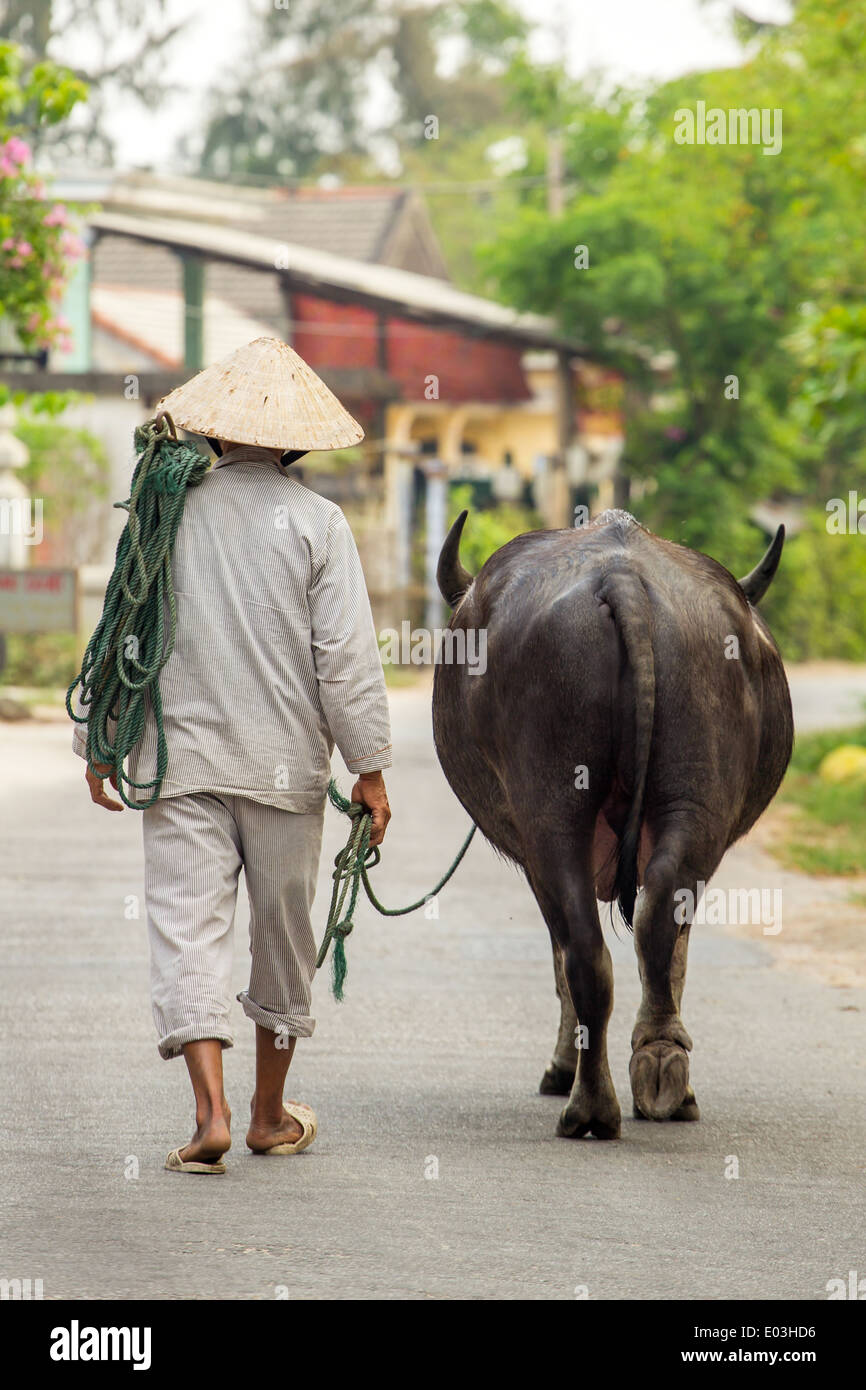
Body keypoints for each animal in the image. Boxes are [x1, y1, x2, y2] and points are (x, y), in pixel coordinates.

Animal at [432, 508, 793, 1139]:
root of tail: (621, 579)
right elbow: (672, 956)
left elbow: (561, 961)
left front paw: (558, 1069)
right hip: (694, 805)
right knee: (657, 920)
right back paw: (661, 1066)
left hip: (550, 818)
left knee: (583, 951)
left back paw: (590, 1104)